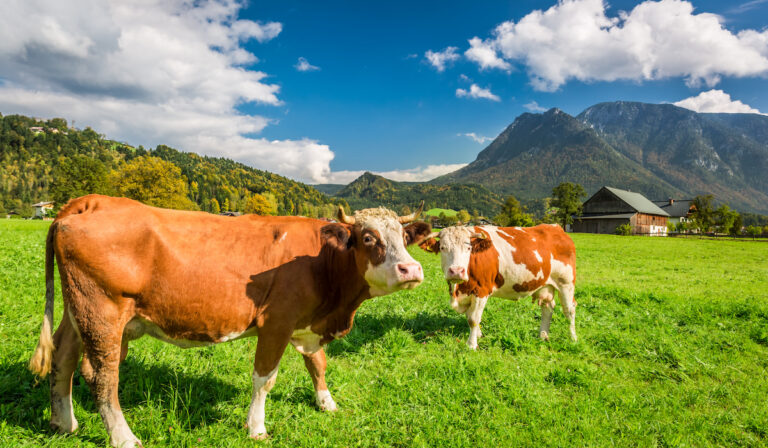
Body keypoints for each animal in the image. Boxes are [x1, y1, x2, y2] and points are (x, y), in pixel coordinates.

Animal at [28, 195, 432, 447]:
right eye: (368, 237)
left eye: (403, 236)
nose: (411, 269)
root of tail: (90, 202)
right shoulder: (276, 322)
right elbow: (264, 380)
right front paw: (256, 428)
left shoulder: (306, 325)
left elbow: (317, 364)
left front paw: (326, 403)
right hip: (102, 313)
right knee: (102, 375)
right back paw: (123, 437)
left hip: (77, 311)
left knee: (62, 358)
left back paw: (63, 422)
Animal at [419, 224, 577, 349]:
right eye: (442, 248)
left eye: (468, 248)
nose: (457, 271)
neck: (459, 290)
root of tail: (556, 227)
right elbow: (470, 316)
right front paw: (478, 336)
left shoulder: (481, 290)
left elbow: (473, 319)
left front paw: (471, 345)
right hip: (545, 285)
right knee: (547, 308)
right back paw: (543, 336)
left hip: (566, 282)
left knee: (569, 310)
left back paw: (573, 338)